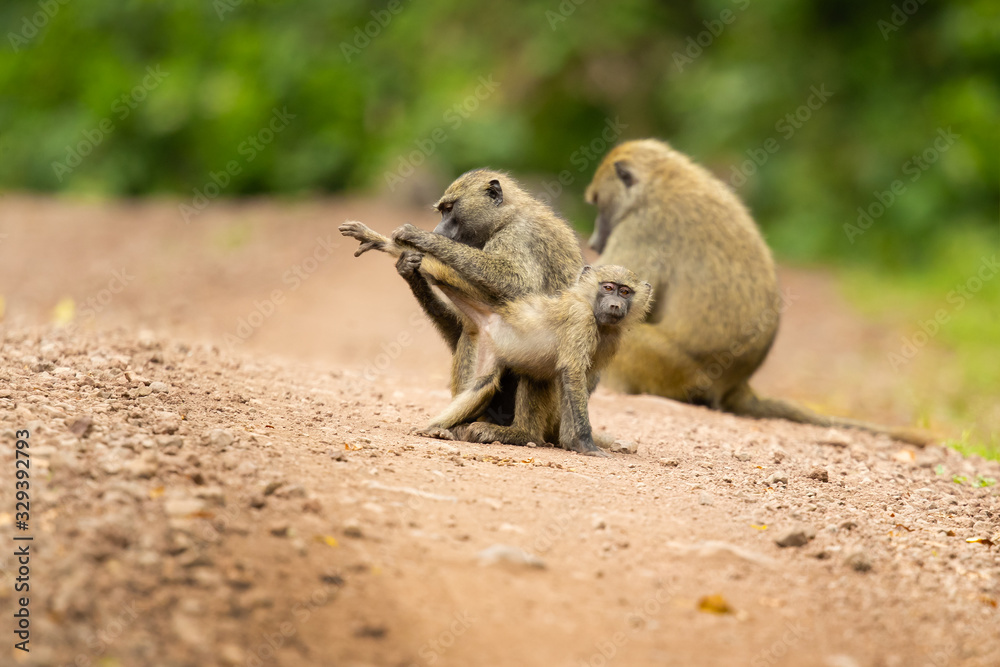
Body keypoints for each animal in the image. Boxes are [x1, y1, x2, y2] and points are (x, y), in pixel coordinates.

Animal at [343, 169, 584, 428]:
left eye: (449, 209)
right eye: (442, 211)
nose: (438, 230)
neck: (506, 217)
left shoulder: (519, 235)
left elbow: (518, 283)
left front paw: (418, 239)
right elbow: (467, 325)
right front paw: (406, 263)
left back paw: (518, 433)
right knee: (472, 333)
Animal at [583, 138, 933, 446]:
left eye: (599, 203)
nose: (593, 241)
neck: (663, 181)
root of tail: (735, 383)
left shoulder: (642, 226)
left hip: (674, 369)